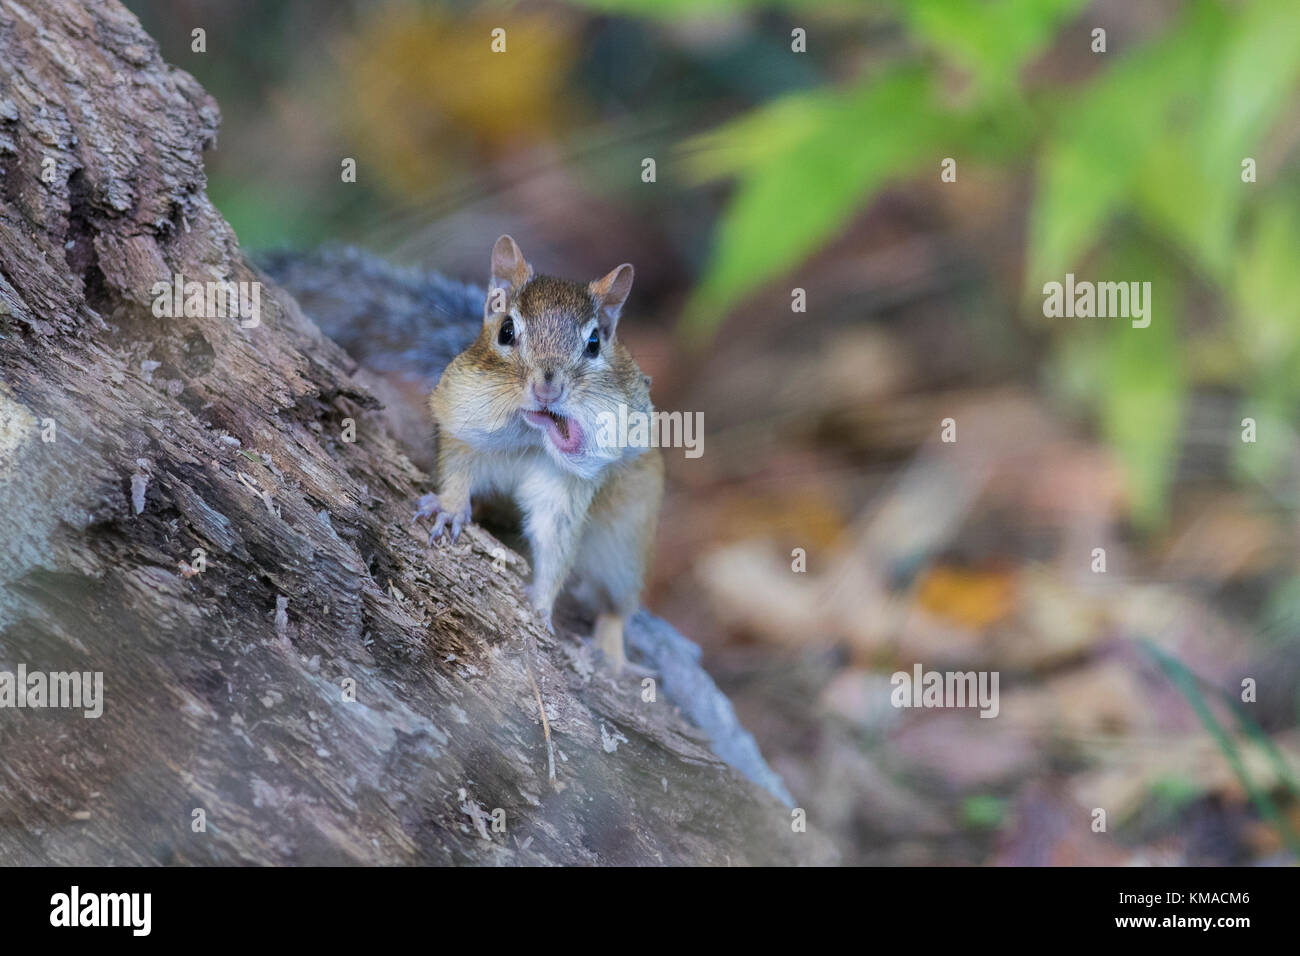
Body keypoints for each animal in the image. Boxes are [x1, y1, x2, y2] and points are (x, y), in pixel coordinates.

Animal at [417, 235, 663, 672]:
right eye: (506, 330)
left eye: (594, 343)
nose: (547, 389)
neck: (529, 437)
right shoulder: (462, 429)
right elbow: (457, 475)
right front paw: (449, 509)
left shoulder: (565, 489)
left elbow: (554, 543)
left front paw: (541, 607)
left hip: (624, 548)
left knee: (616, 606)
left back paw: (610, 654)